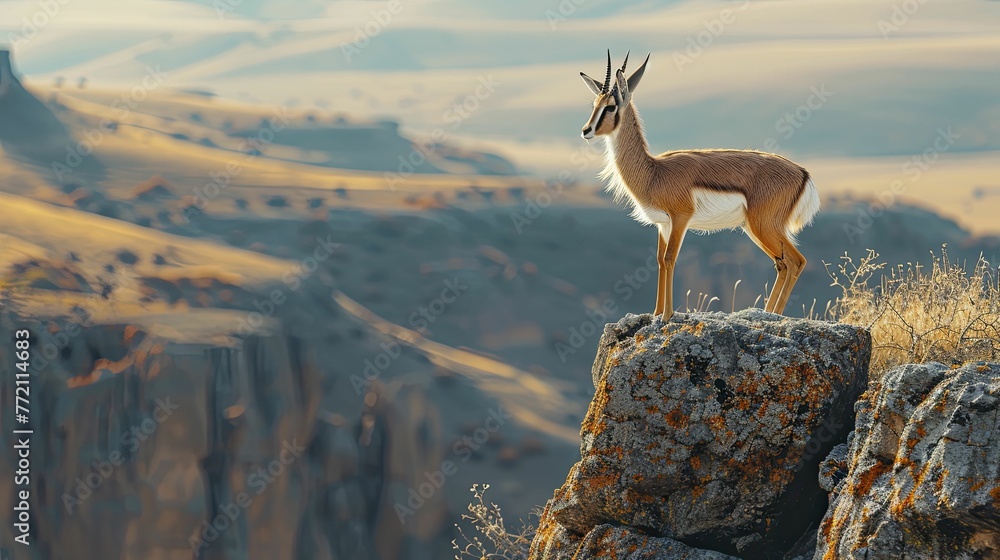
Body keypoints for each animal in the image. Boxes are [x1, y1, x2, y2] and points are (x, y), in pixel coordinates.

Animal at [580, 51, 820, 321]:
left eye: (610, 106)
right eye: (595, 105)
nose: (586, 130)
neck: (653, 172)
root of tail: (802, 172)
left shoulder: (680, 219)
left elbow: (670, 258)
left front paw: (667, 316)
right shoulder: (663, 224)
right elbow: (660, 261)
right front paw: (656, 313)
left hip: (764, 227)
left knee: (796, 261)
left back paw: (775, 316)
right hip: (755, 228)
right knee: (782, 263)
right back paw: (768, 313)